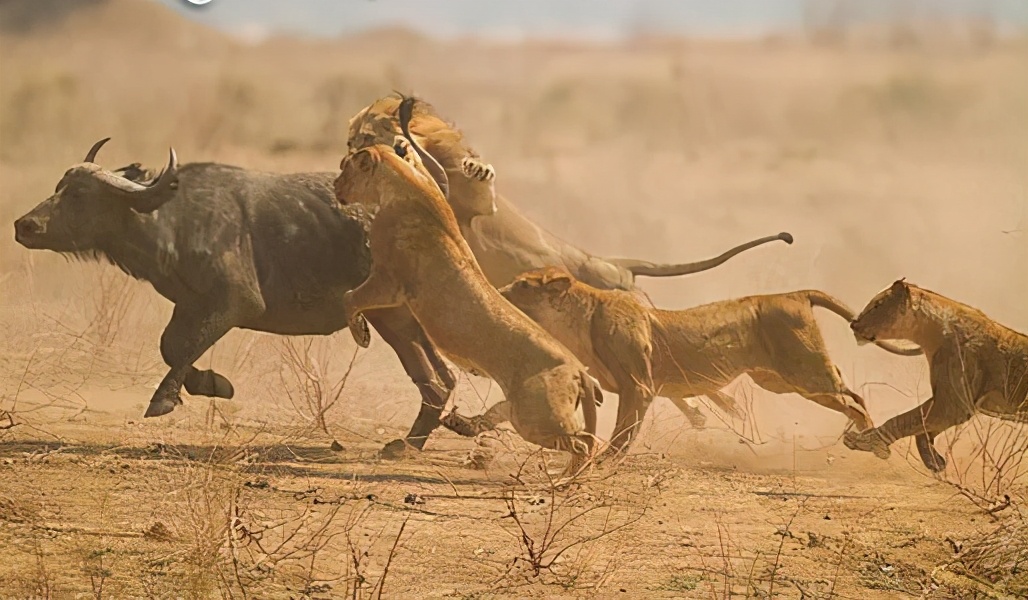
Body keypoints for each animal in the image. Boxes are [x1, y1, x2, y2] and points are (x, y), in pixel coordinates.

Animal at [334, 102, 603, 471]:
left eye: (345, 169)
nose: (334, 186)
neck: (406, 184)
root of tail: (579, 370)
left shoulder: (389, 281)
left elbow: (350, 298)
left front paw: (361, 335)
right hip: (527, 410)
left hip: (535, 418)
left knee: (585, 443)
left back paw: (567, 476)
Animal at [441, 267, 924, 455]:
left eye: (522, 285)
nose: (495, 293)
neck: (579, 318)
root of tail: (794, 293)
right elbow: (502, 408)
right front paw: (465, 423)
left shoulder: (639, 386)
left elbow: (623, 434)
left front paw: (605, 462)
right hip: (777, 379)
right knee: (849, 391)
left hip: (804, 375)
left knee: (854, 399)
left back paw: (872, 444)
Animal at [843, 279, 1028, 472]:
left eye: (877, 305)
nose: (853, 324)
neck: (929, 334)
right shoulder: (946, 400)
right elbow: (921, 423)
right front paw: (934, 461)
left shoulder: (954, 405)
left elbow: (906, 419)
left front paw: (864, 441)